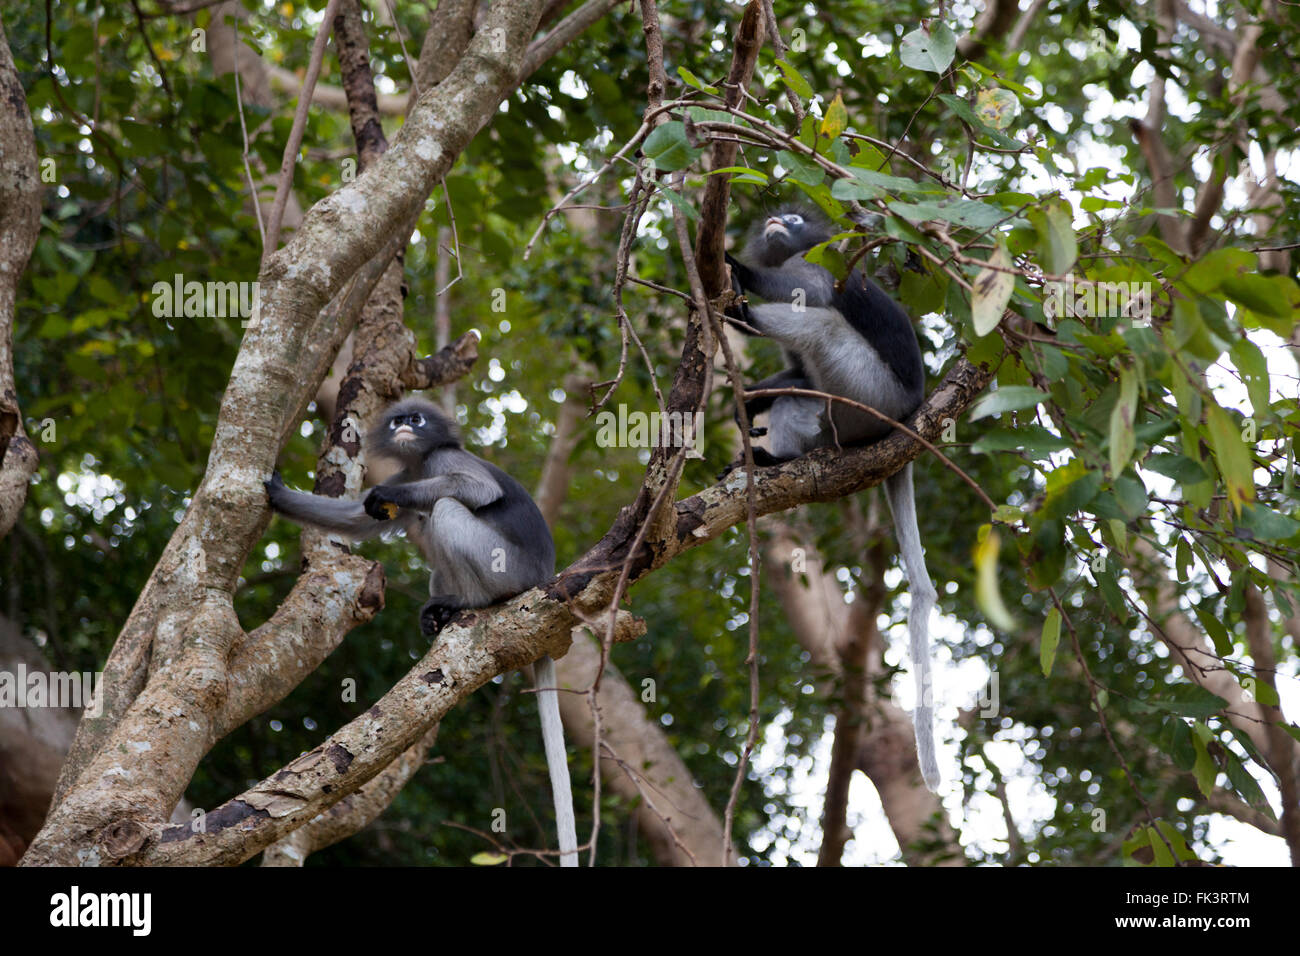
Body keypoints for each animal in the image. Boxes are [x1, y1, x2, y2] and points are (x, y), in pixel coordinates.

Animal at [264, 397, 579, 864]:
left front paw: (392, 497)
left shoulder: (439, 460)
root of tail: (542, 579)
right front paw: (278, 492)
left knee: (444, 507)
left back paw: (468, 602)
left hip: (505, 568)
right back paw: (439, 614)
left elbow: (476, 489)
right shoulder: (407, 469)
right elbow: (356, 520)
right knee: (425, 523)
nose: (404, 429)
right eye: (398, 420)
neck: (418, 462)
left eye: (417, 420)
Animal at [724, 206, 941, 792]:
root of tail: (909, 415)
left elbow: (810, 293)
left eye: (796, 218)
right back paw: (771, 455)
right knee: (803, 385)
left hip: (868, 397)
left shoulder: (815, 262)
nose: (778, 219)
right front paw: (749, 398)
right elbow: (796, 372)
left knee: (822, 325)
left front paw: (735, 272)